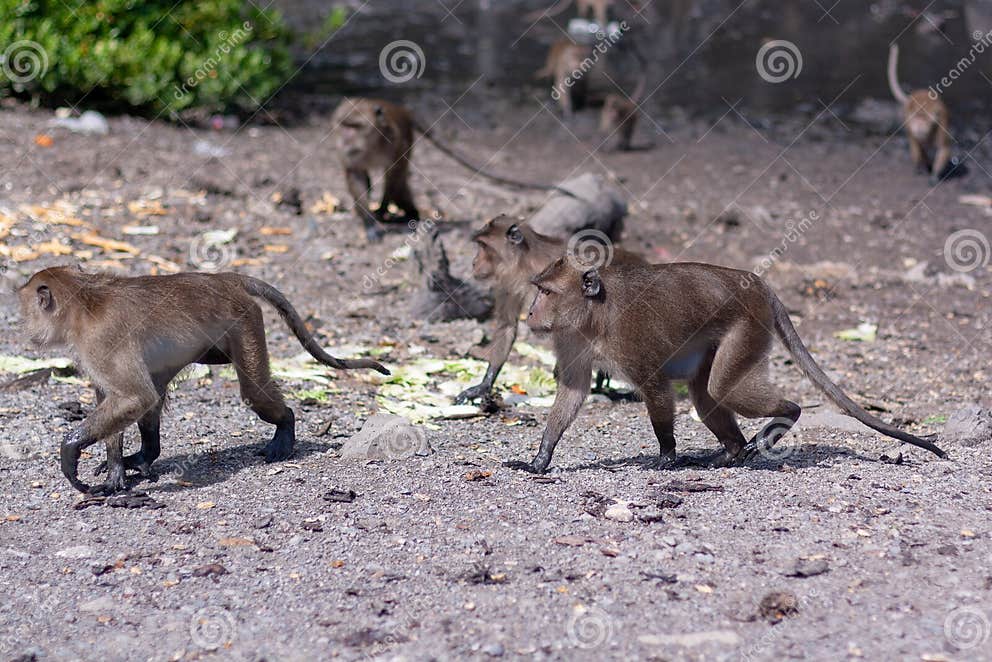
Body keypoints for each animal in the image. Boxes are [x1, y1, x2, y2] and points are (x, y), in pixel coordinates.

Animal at [17, 267, 389, 495]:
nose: (28, 330)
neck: (82, 301)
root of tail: (222, 278)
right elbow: (121, 398)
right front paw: (116, 470)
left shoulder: (101, 341)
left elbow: (135, 396)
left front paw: (70, 449)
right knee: (157, 389)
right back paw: (147, 454)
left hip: (244, 319)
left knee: (252, 392)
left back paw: (285, 426)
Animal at [331, 98, 575, 242]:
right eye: (343, 126)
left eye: (354, 127)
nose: (343, 141)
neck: (371, 145)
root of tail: (403, 110)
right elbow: (356, 175)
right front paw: (370, 222)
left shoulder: (396, 139)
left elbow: (394, 173)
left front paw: (381, 210)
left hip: (407, 135)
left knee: (398, 180)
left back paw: (408, 213)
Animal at [509, 252, 946, 473]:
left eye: (546, 292)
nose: (529, 313)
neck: (593, 315)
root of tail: (759, 284)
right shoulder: (569, 338)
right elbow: (573, 389)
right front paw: (540, 458)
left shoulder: (632, 339)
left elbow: (656, 389)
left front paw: (666, 456)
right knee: (706, 394)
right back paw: (729, 451)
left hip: (748, 325)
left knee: (722, 388)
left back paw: (785, 416)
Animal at [887, 44, 952, 185]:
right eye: (917, 118)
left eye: (924, 119)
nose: (918, 125)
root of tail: (913, 96)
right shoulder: (910, 124)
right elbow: (916, 146)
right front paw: (922, 167)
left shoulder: (940, 126)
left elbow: (943, 148)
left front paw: (934, 175)